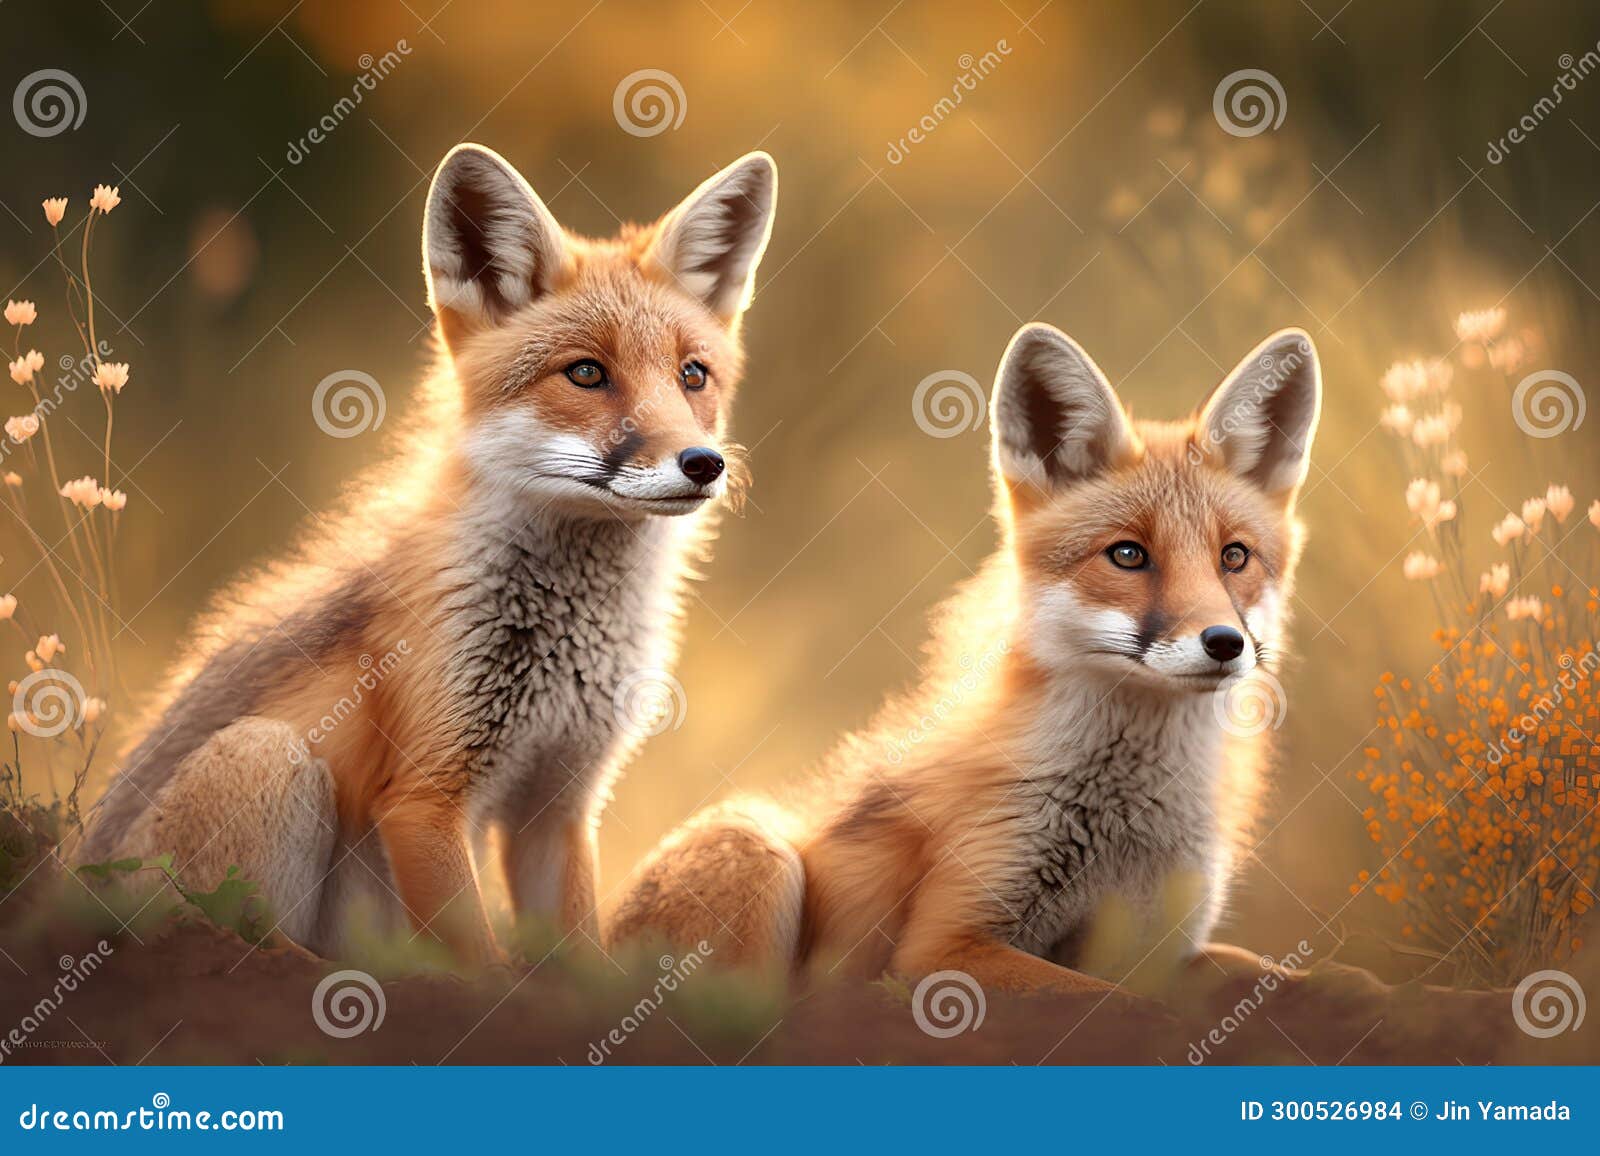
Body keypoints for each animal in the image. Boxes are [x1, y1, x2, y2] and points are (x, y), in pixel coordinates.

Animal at [78, 142, 779, 965]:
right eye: (586, 373)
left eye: (692, 375)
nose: (704, 463)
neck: (565, 646)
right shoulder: (424, 799)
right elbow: (484, 966)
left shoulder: (559, 806)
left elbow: (575, 955)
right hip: (267, 759)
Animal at [608, 321, 1321, 997]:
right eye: (1127, 555)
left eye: (1234, 556)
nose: (1224, 643)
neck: (1127, 822)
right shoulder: (947, 947)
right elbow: (1121, 1003)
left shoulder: (1157, 949)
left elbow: (1272, 974)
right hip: (754, 847)